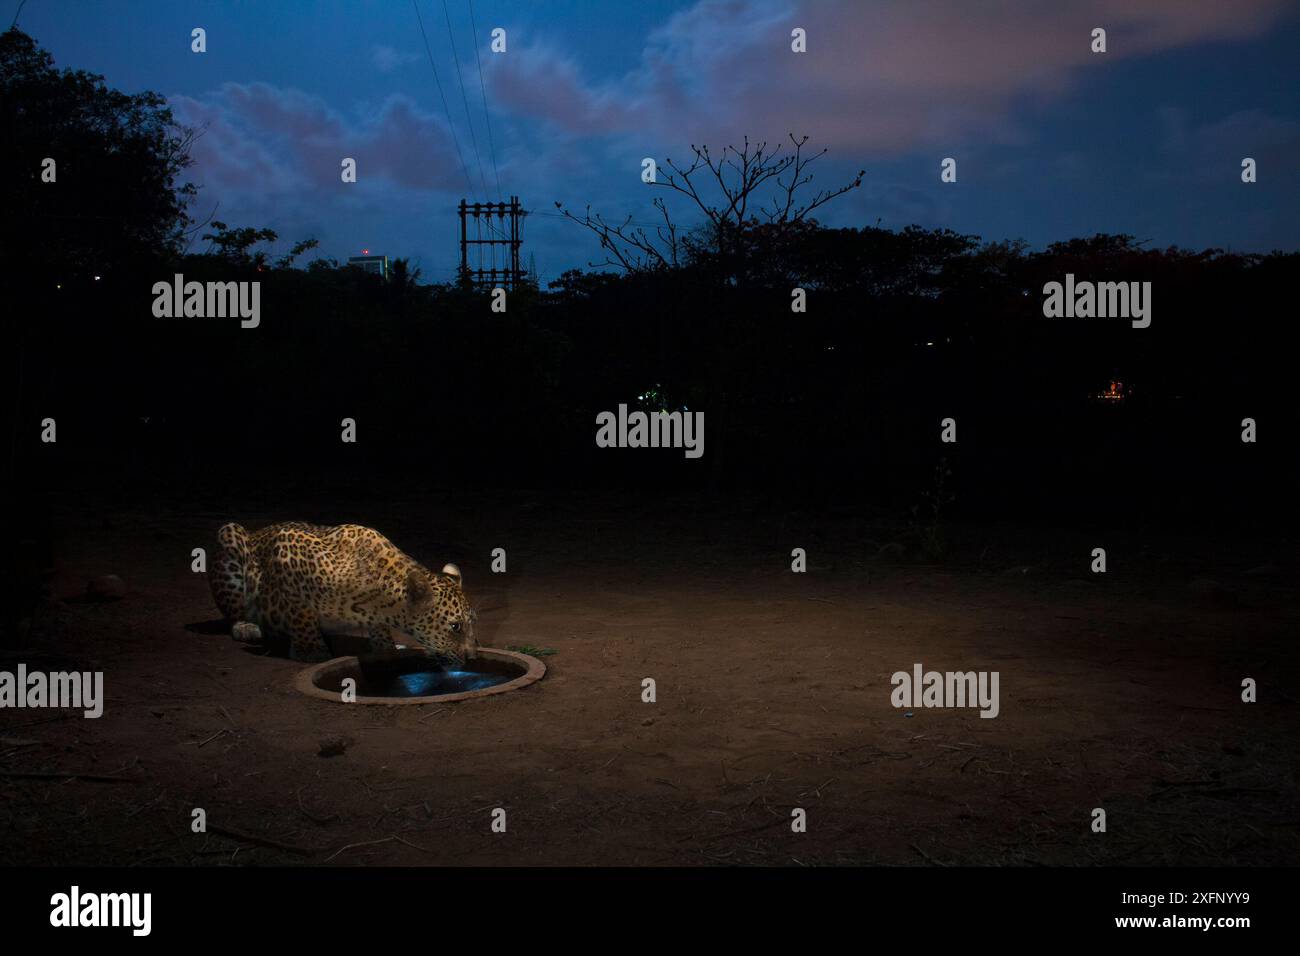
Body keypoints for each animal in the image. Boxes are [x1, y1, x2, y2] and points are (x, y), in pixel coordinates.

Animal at [207, 521, 477, 664]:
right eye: (455, 627)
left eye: (472, 622)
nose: (473, 657)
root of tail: (255, 531)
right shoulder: (286, 551)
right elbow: (301, 613)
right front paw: (312, 650)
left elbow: (380, 629)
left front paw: (386, 648)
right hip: (229, 534)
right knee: (235, 613)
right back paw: (246, 626)